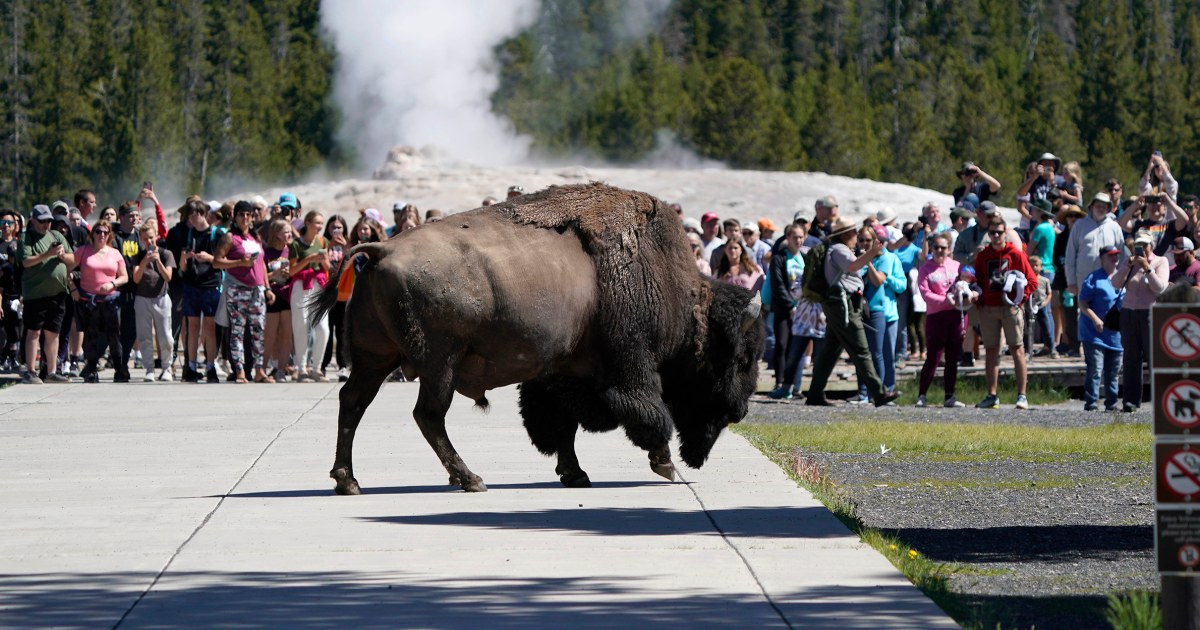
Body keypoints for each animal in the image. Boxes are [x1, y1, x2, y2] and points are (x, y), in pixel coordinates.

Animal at [310, 183, 763, 494]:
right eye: (741, 359)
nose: (741, 411)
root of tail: (381, 249)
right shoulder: (631, 364)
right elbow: (649, 412)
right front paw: (666, 467)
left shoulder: (561, 374)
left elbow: (561, 424)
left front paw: (575, 474)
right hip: (439, 365)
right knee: (427, 415)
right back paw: (470, 478)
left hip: (375, 359)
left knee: (353, 402)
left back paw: (348, 481)